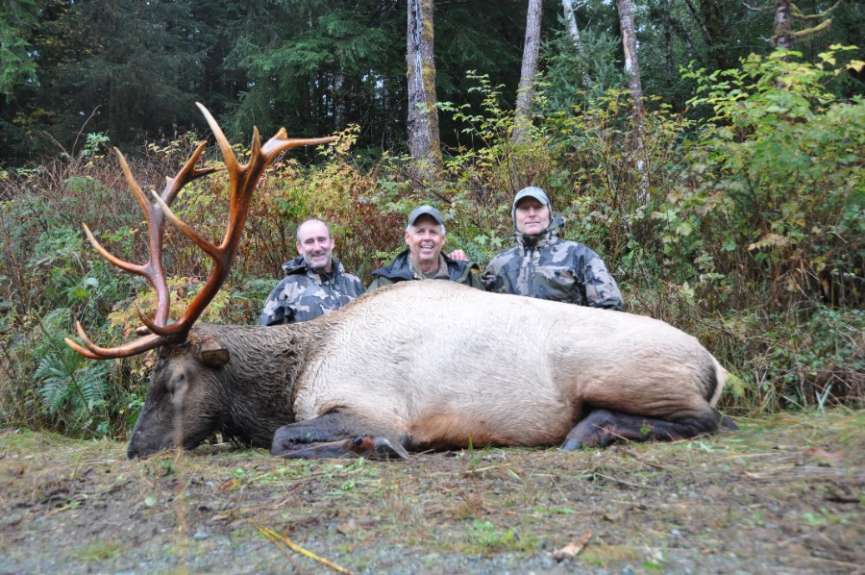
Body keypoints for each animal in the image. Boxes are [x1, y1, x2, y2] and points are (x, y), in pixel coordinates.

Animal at [67, 104, 734, 460]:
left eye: (174, 379)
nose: (135, 447)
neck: (297, 371)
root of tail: (715, 365)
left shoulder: (374, 406)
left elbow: (285, 436)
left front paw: (371, 448)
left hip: (621, 371)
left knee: (708, 419)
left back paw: (590, 431)